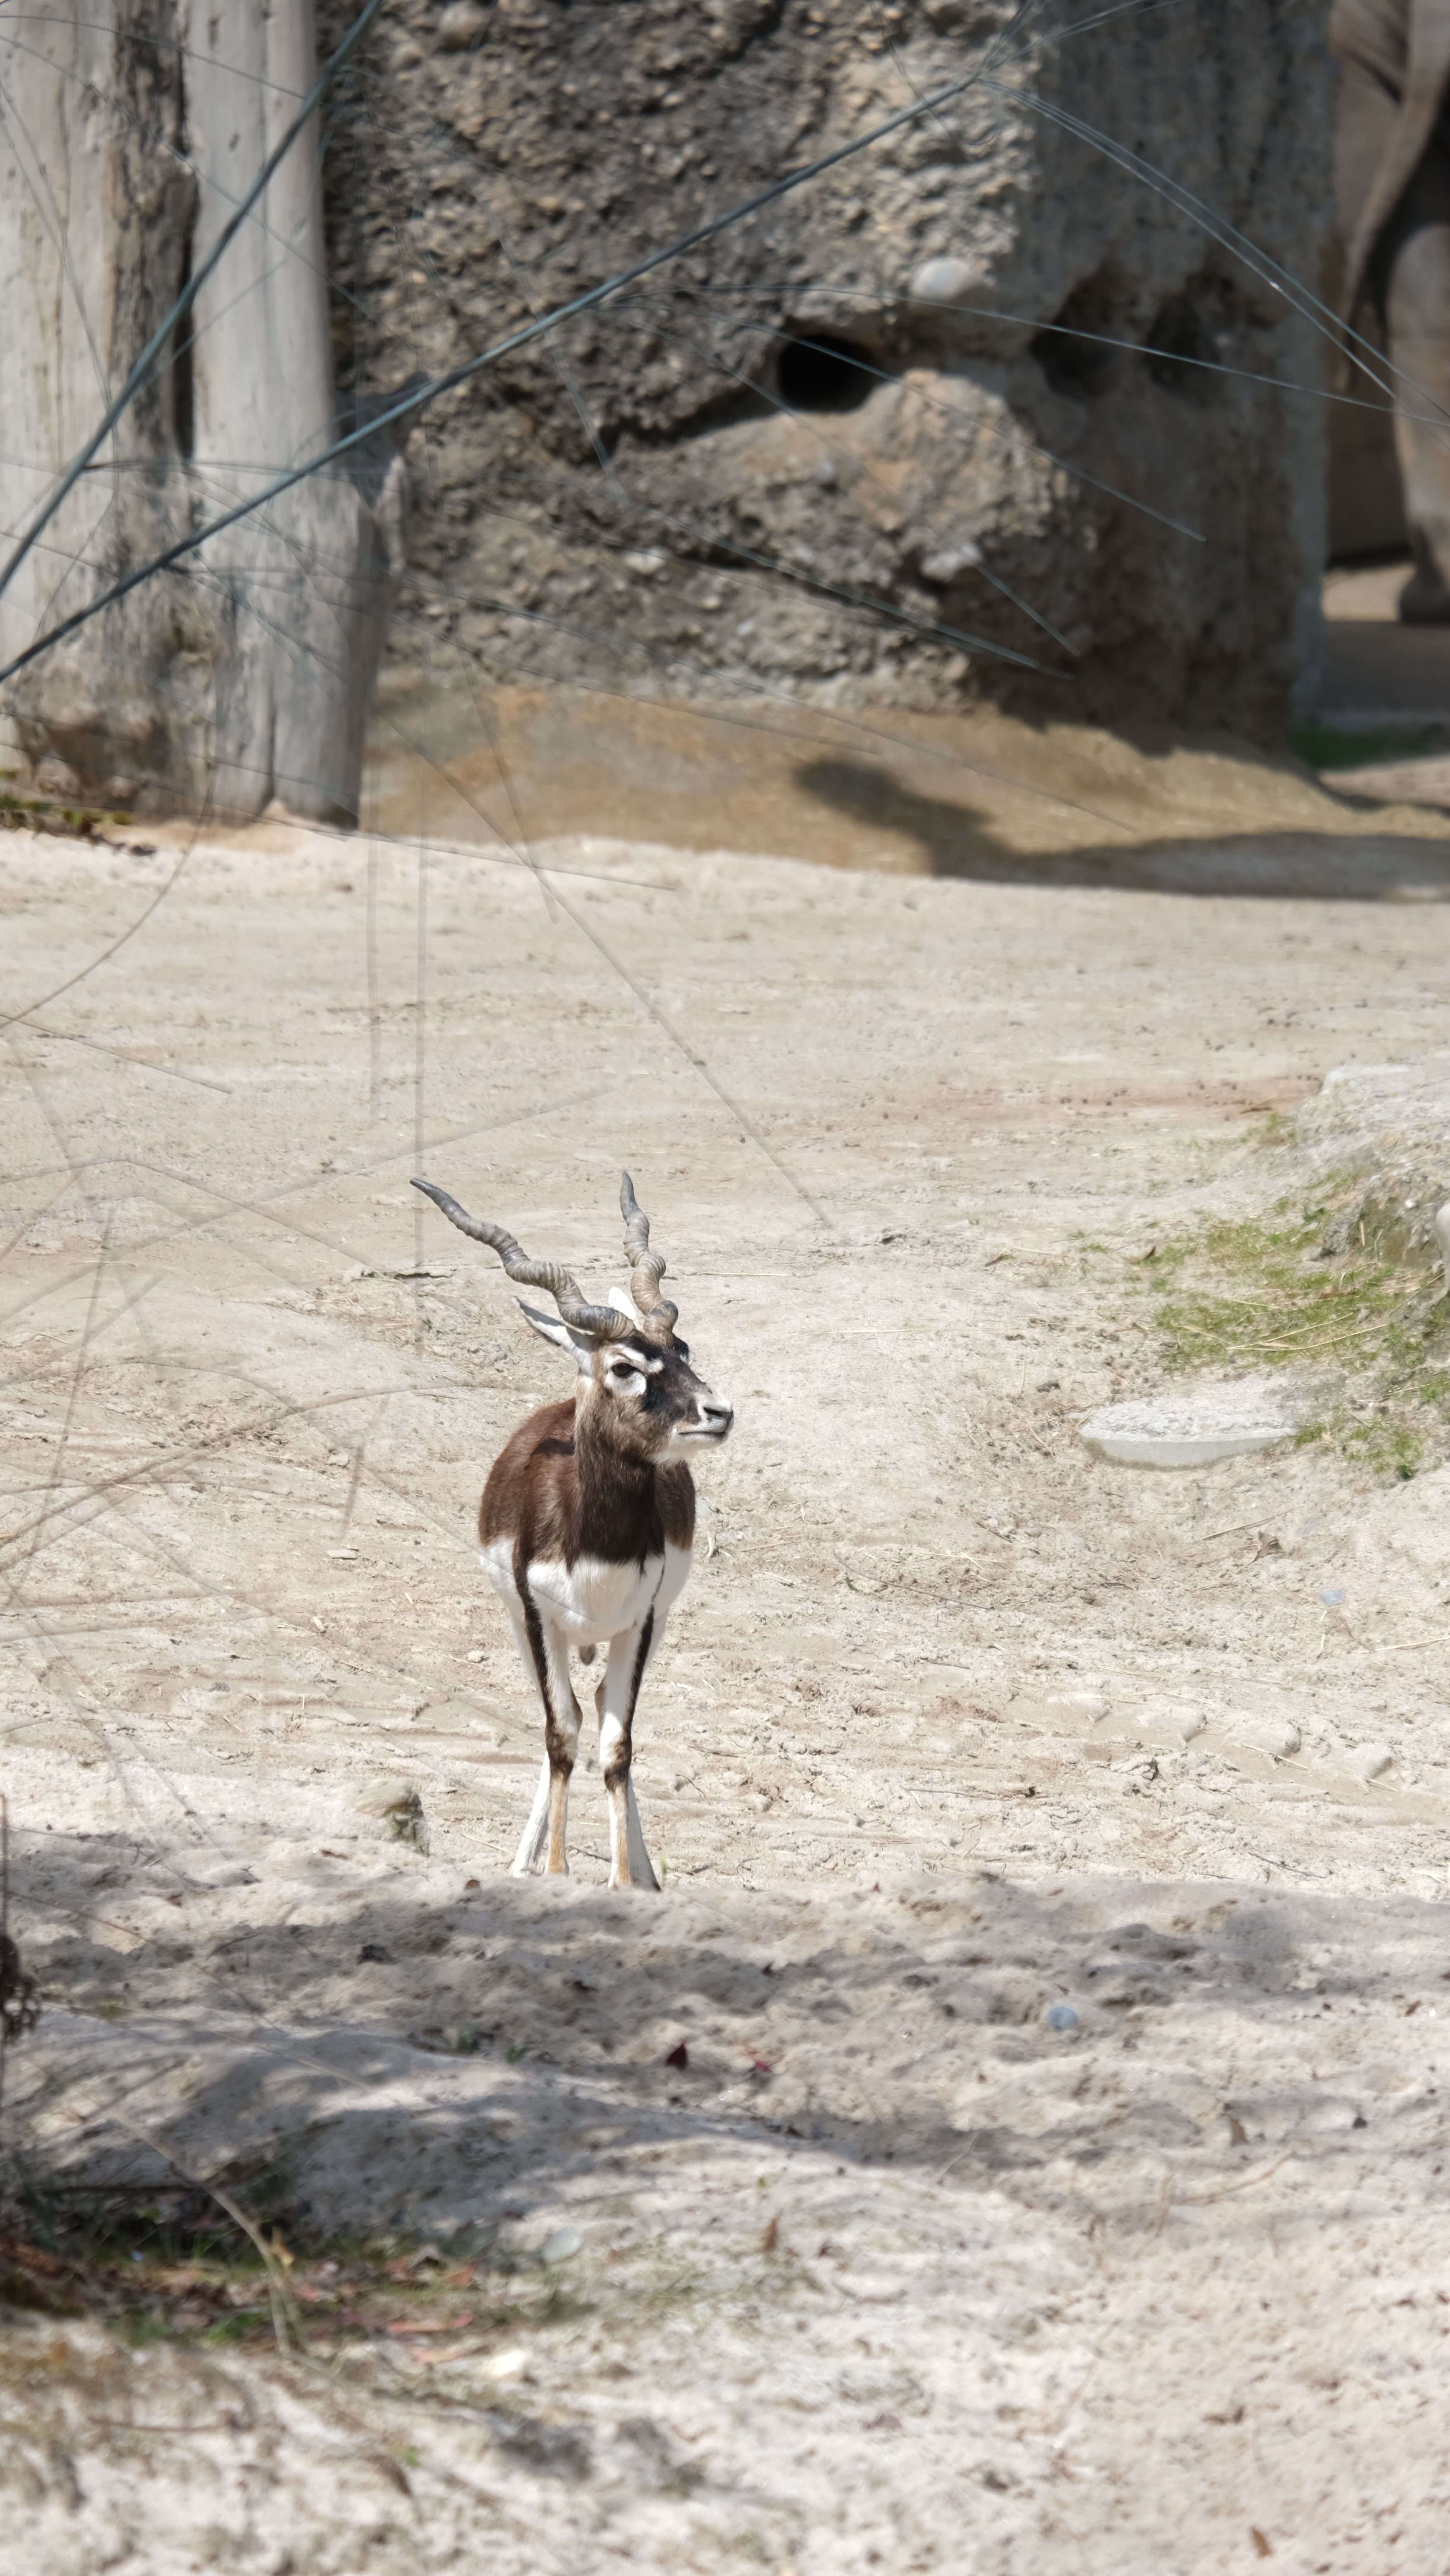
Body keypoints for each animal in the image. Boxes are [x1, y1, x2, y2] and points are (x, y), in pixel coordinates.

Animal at [412, 1172, 733, 1888]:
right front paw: (554, 1871)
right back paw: (524, 1861)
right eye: (625, 1367)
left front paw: (623, 1880)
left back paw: (643, 1872)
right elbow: (561, 1733)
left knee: (602, 1715)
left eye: (682, 1351)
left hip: (646, 1630)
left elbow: (618, 1748)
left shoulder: (641, 1622)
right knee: (569, 1719)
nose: (718, 1411)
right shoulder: (539, 1619)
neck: (599, 1548)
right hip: (520, 1623)